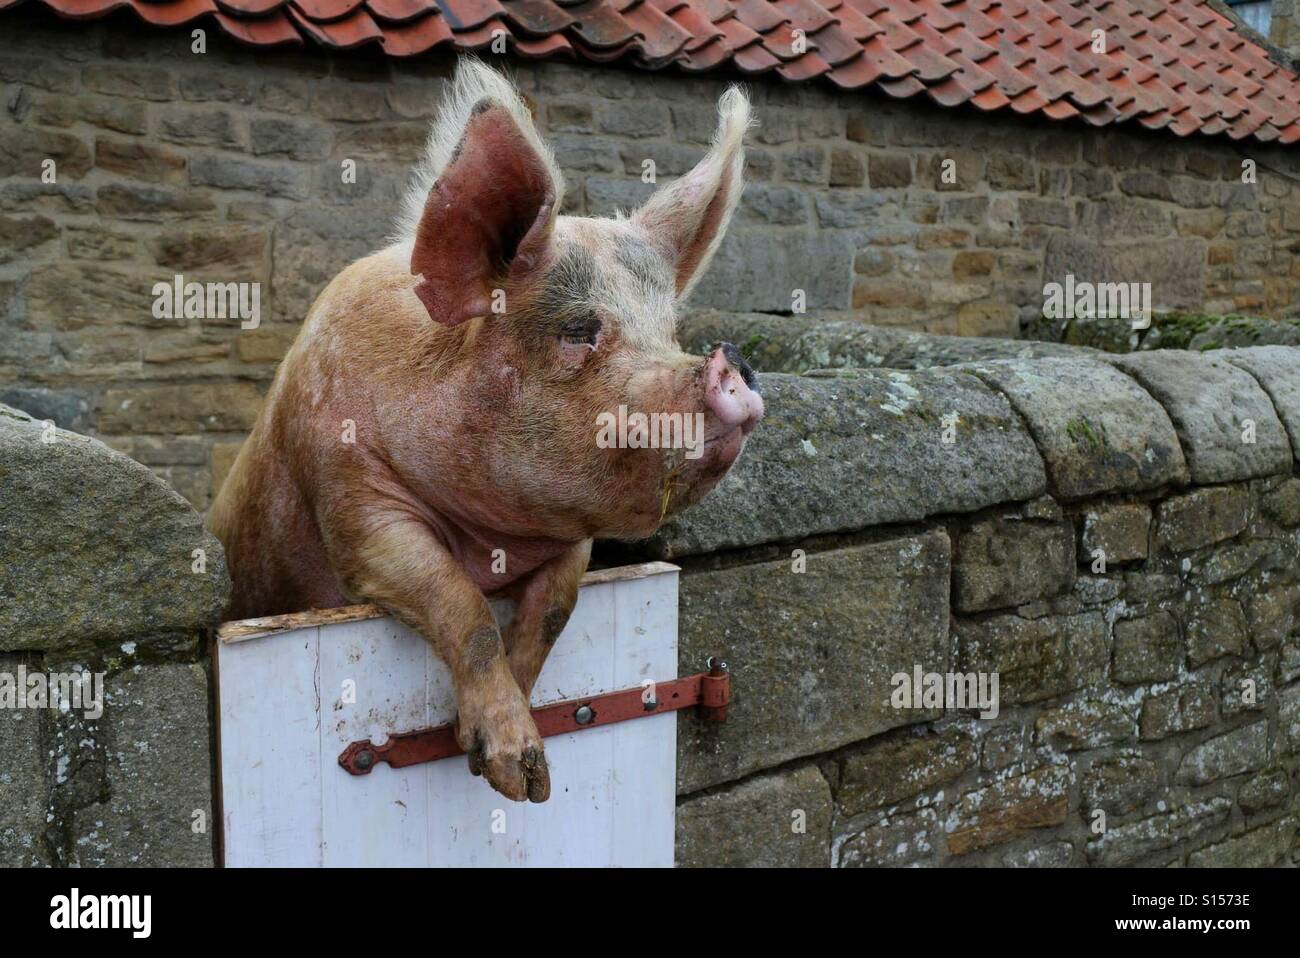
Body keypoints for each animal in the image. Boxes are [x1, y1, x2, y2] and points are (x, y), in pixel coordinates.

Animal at [208, 59, 763, 804]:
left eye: (670, 332)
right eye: (578, 330)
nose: (733, 365)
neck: (492, 536)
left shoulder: (574, 534)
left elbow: (554, 611)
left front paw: (524, 760)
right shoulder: (351, 497)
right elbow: (460, 604)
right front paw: (517, 777)